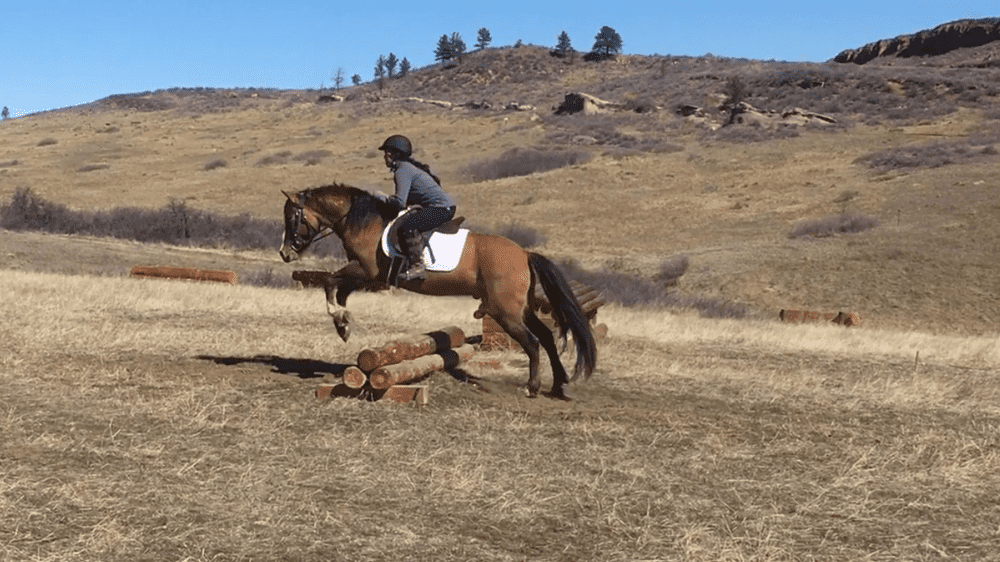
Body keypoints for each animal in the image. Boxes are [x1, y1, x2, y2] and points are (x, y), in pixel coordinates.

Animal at [278, 182, 596, 399]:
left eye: (293, 218)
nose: (284, 253)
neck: (363, 220)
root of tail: (524, 253)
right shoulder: (368, 276)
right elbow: (339, 289)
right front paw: (343, 324)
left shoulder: (368, 272)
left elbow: (331, 283)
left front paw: (340, 320)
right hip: (521, 308)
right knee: (546, 338)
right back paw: (558, 386)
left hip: (505, 311)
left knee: (532, 342)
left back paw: (532, 387)